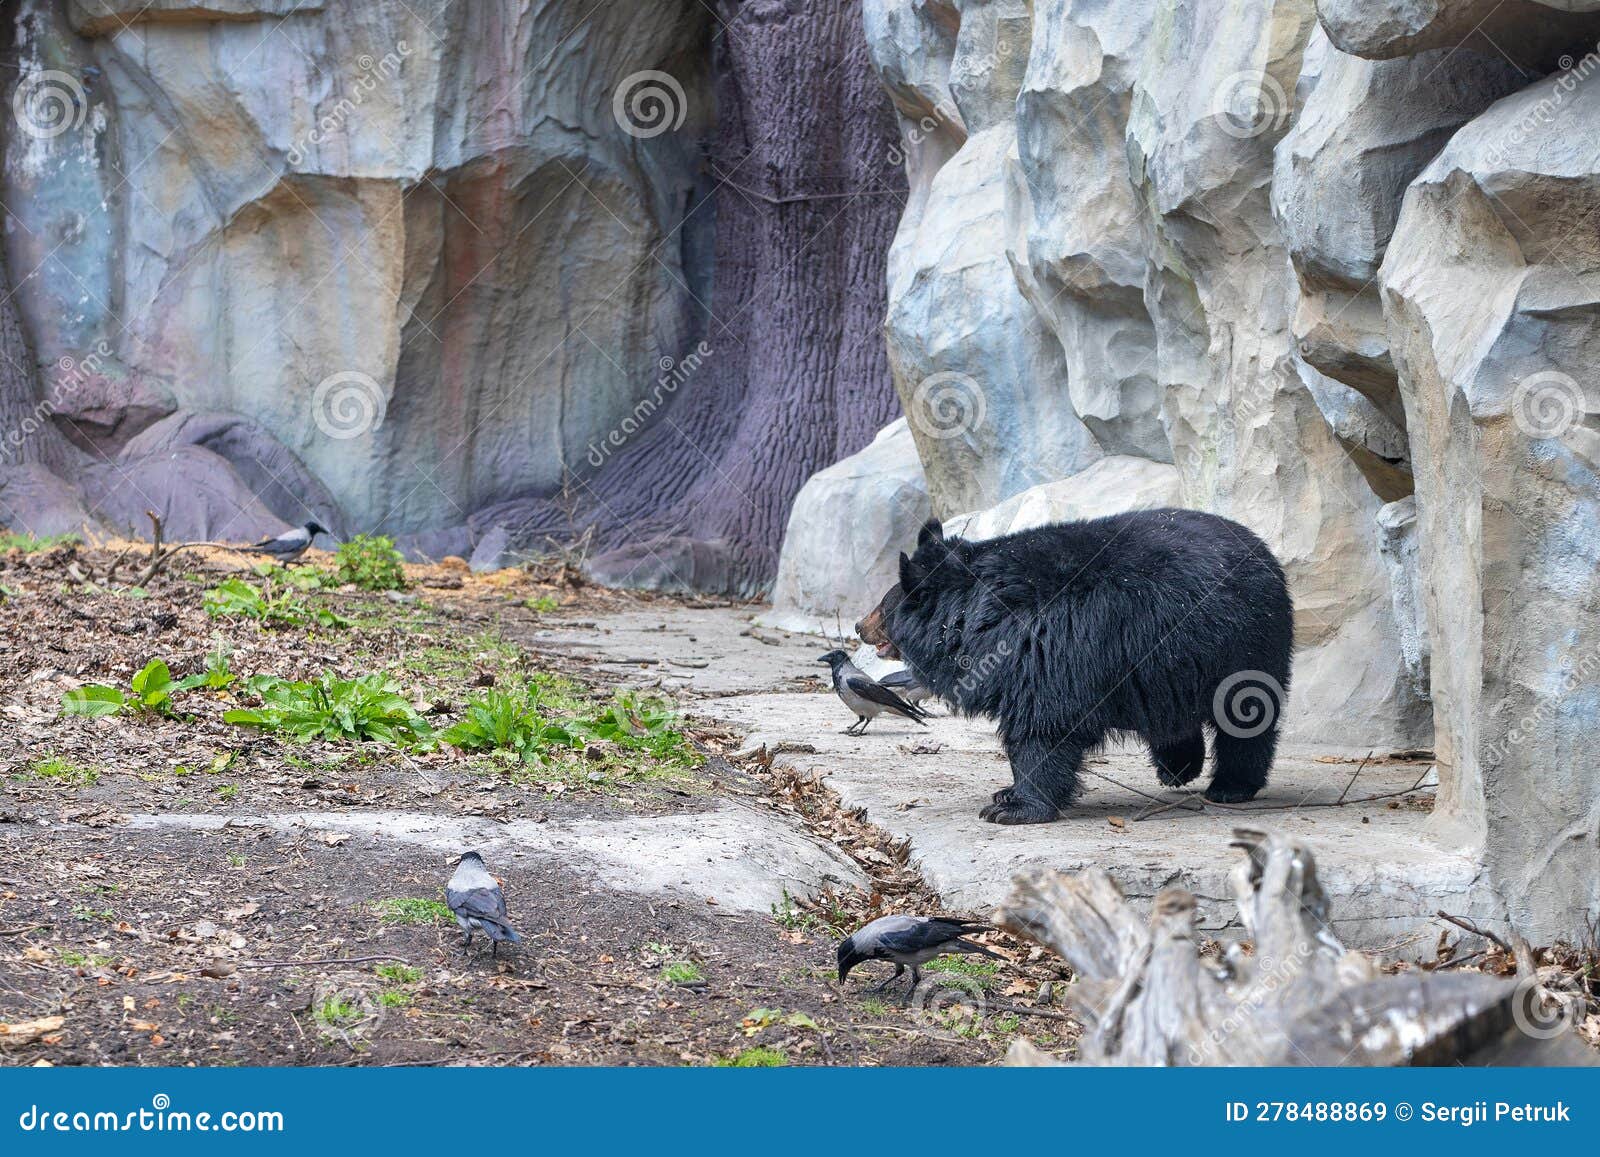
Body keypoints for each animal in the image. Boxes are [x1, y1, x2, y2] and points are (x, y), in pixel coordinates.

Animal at [856, 509, 1294, 825]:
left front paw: (1012, 807)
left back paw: (1231, 786)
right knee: (1173, 713)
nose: (860, 626)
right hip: (1180, 659)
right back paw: (1177, 769)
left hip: (1243, 645)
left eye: (883, 606)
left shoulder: (1047, 648)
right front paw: (1005, 794)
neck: (972, 618)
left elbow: (1043, 727)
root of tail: (1264, 551)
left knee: (1244, 719)